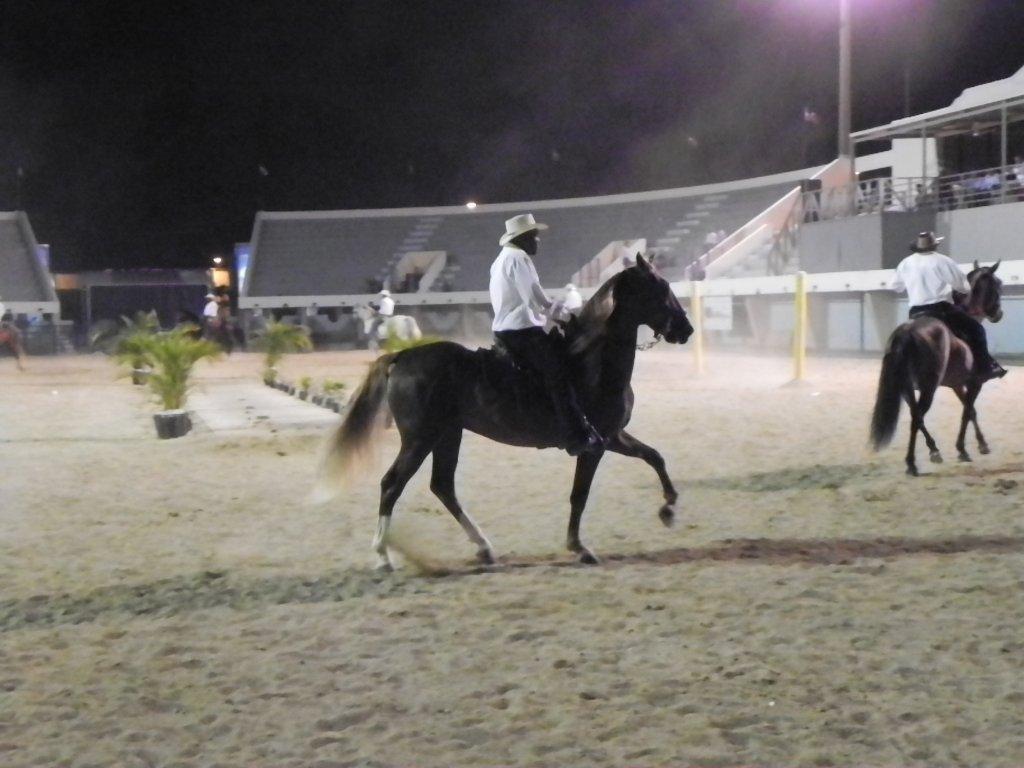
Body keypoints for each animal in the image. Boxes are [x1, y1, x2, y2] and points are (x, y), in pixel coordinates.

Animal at [320, 254, 694, 570]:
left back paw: (483, 547)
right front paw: (579, 547)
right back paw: (383, 556)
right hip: (419, 439)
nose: (686, 330)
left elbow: (654, 456)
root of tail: (402, 358)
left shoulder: (612, 436)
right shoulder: (595, 445)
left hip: (447, 435)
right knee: (392, 484)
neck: (590, 361)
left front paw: (669, 509)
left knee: (443, 486)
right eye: (661, 290)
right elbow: (579, 495)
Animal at [870, 260, 1004, 475]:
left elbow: (970, 411)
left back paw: (933, 451)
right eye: (997, 284)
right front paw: (963, 449)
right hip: (928, 387)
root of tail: (907, 331)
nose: (998, 314)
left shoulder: (957, 384)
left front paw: (980, 445)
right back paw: (912, 463)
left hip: (907, 387)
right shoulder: (975, 382)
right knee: (918, 417)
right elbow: (967, 412)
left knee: (917, 416)